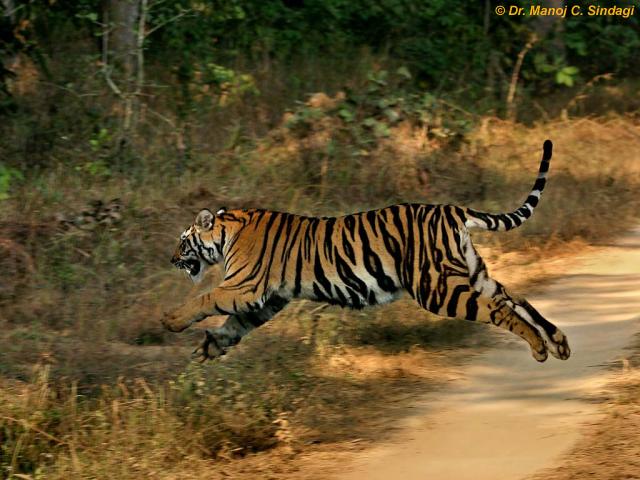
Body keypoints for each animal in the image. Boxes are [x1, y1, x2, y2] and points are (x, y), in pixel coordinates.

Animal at [162, 140, 570, 363]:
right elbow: (234, 326)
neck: (229, 230)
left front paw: (171, 321)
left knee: (499, 308)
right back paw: (558, 342)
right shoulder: (266, 300)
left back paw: (539, 347)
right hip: (470, 273)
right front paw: (209, 348)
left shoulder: (245, 288)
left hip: (438, 288)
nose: (171, 259)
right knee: (513, 297)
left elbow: (205, 298)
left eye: (182, 242)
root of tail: (451, 209)